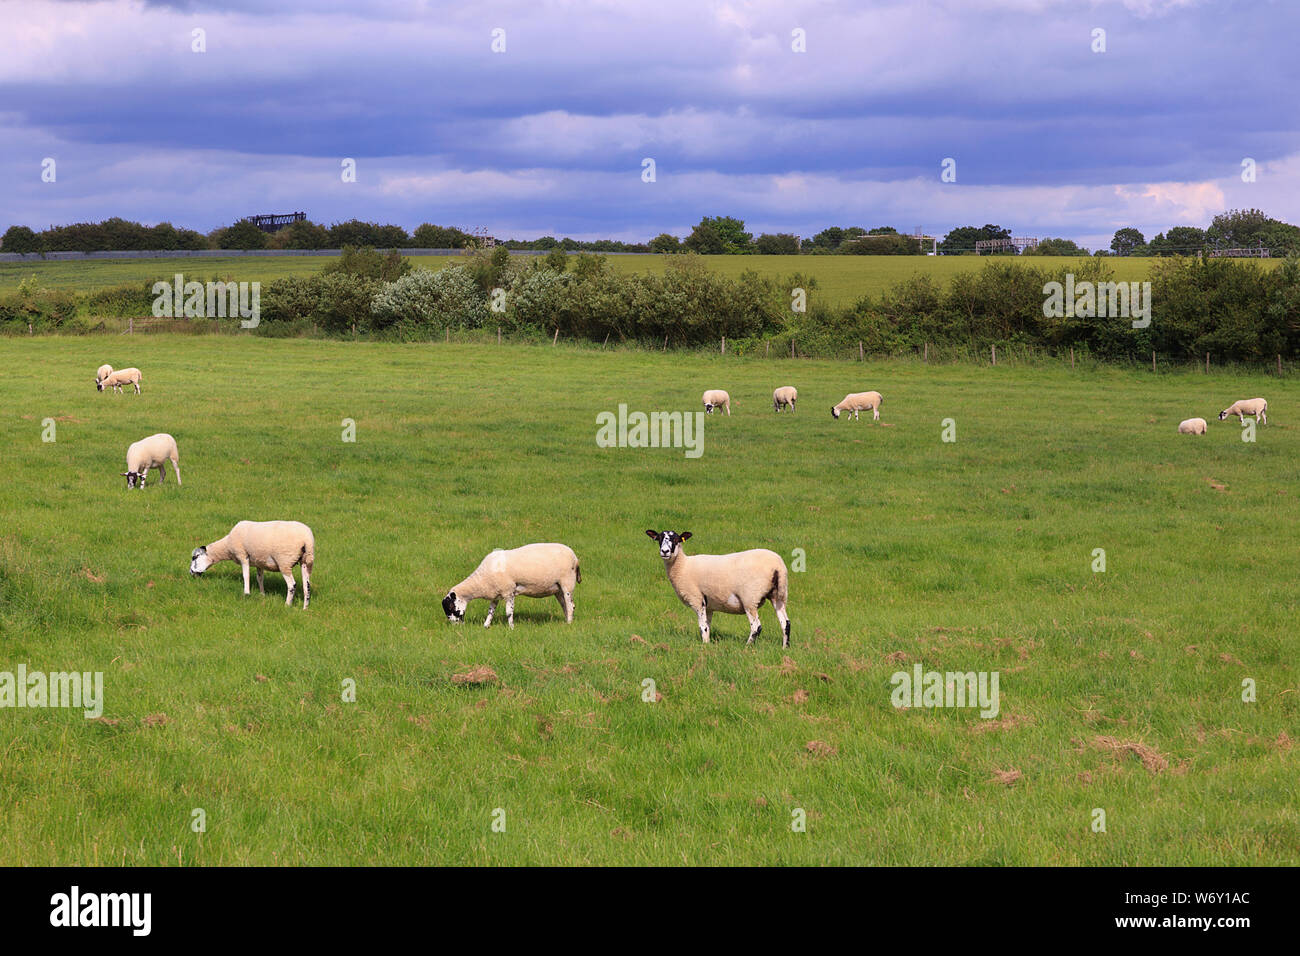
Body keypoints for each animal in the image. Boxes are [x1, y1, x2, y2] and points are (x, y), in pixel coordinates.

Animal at [441, 543, 581, 628]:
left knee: (570, 605)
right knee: (565, 605)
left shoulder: (508, 591)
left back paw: (569, 623)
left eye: (450, 606)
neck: (481, 580)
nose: (455, 626)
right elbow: (490, 611)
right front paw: (486, 626)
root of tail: (575, 557)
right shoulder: (495, 594)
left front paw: (511, 628)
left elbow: (509, 612)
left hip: (567, 582)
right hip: (557, 588)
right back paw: (567, 621)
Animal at [645, 530, 791, 647]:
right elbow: (707, 626)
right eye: (659, 538)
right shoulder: (709, 605)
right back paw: (785, 648)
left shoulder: (697, 599)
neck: (683, 566)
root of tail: (777, 566)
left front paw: (704, 646)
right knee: (785, 623)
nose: (664, 551)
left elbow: (702, 626)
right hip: (779, 595)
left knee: (756, 626)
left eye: (676, 539)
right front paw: (708, 644)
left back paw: (747, 646)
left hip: (750, 597)